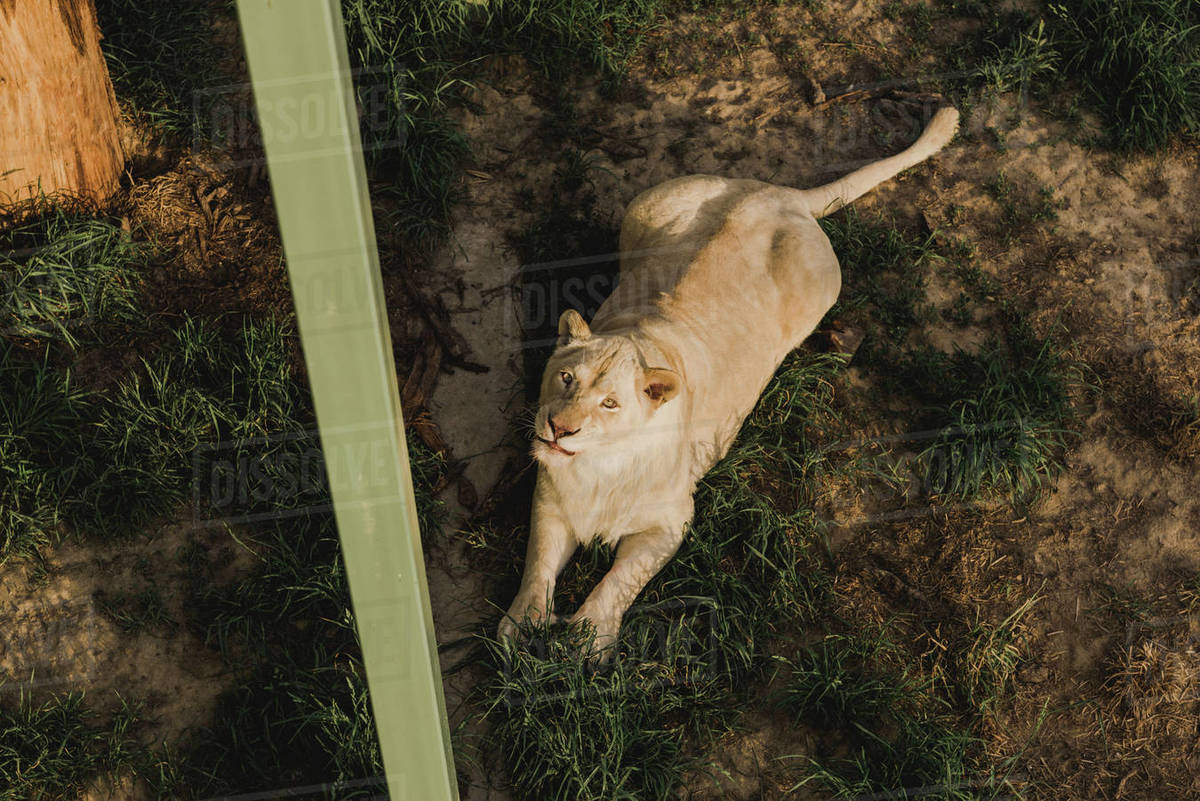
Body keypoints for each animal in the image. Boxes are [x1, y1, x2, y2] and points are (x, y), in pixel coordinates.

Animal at [499, 105, 960, 658]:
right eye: (566, 377)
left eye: (610, 404)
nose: (558, 429)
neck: (598, 468)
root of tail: (779, 194)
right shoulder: (551, 498)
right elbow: (538, 561)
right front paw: (519, 626)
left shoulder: (672, 520)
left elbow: (621, 580)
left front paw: (589, 639)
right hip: (648, 202)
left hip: (822, 288)